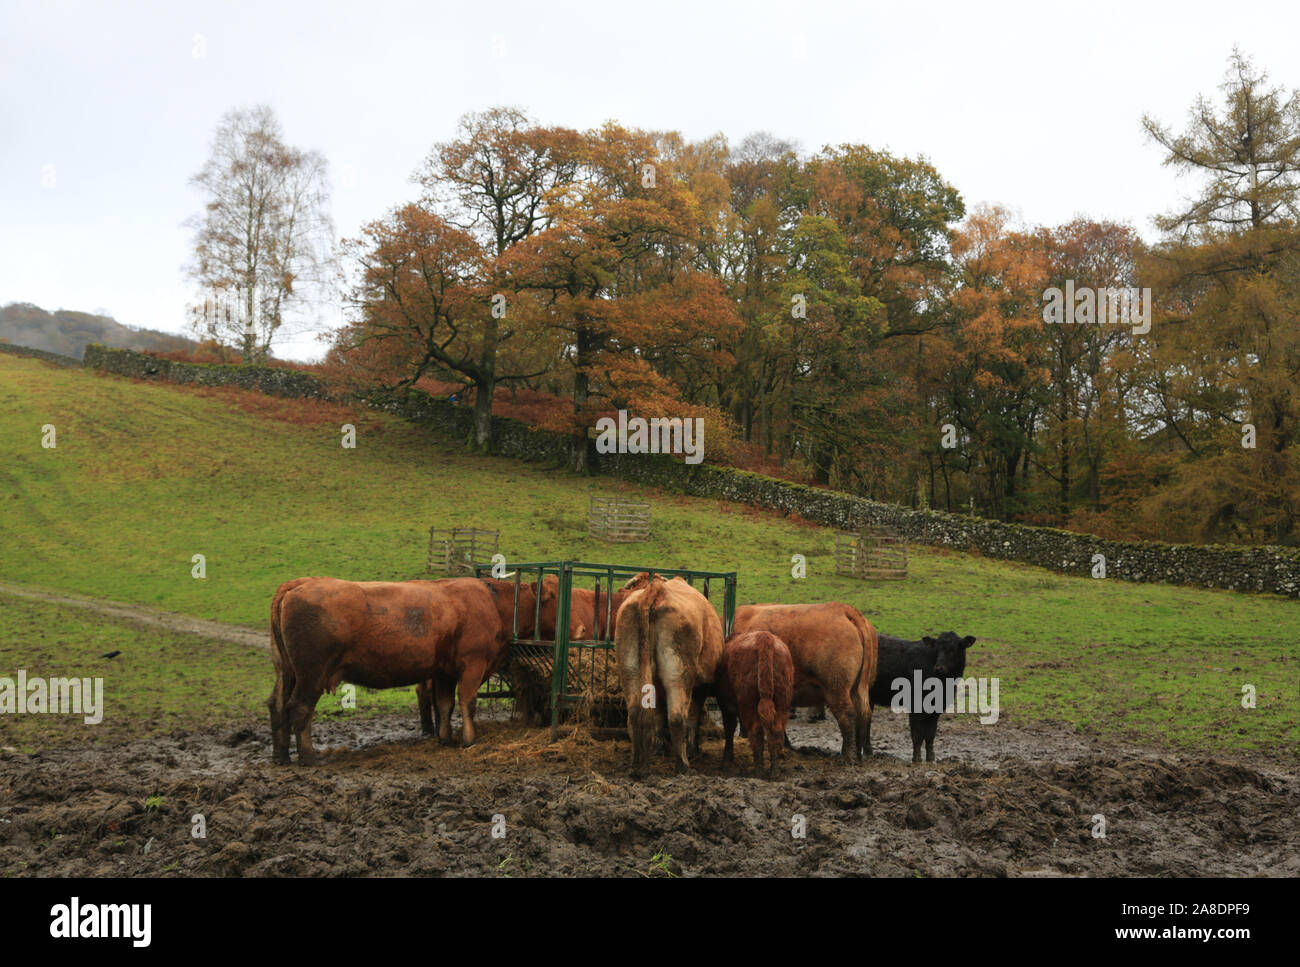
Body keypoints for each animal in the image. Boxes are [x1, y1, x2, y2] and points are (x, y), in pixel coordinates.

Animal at [268, 576, 505, 763]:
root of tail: (298, 583)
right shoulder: (472, 663)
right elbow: (467, 702)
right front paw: (469, 740)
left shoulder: (444, 672)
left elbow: (445, 704)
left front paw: (445, 738)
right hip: (311, 674)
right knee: (300, 707)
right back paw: (309, 757)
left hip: (286, 672)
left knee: (277, 705)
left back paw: (281, 756)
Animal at [615, 573, 724, 776]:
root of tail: (656, 590)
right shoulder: (701, 686)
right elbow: (693, 716)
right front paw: (692, 748)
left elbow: (658, 714)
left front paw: (659, 748)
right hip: (679, 672)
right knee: (677, 716)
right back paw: (683, 764)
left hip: (630, 668)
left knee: (635, 713)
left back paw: (637, 763)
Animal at [716, 630, 794, 772]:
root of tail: (763, 637)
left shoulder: (725, 705)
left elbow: (729, 728)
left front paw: (726, 761)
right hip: (782, 701)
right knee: (777, 731)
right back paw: (775, 769)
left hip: (748, 702)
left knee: (756, 730)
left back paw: (759, 769)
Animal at [731, 602, 878, 762]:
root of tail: (843, 608)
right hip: (859, 687)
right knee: (863, 714)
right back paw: (858, 753)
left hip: (836, 687)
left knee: (847, 715)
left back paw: (848, 756)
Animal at [867, 631, 976, 762]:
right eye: (937, 649)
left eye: (953, 650)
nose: (939, 668)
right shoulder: (916, 705)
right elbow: (917, 734)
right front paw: (917, 758)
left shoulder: (937, 707)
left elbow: (930, 734)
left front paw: (931, 758)